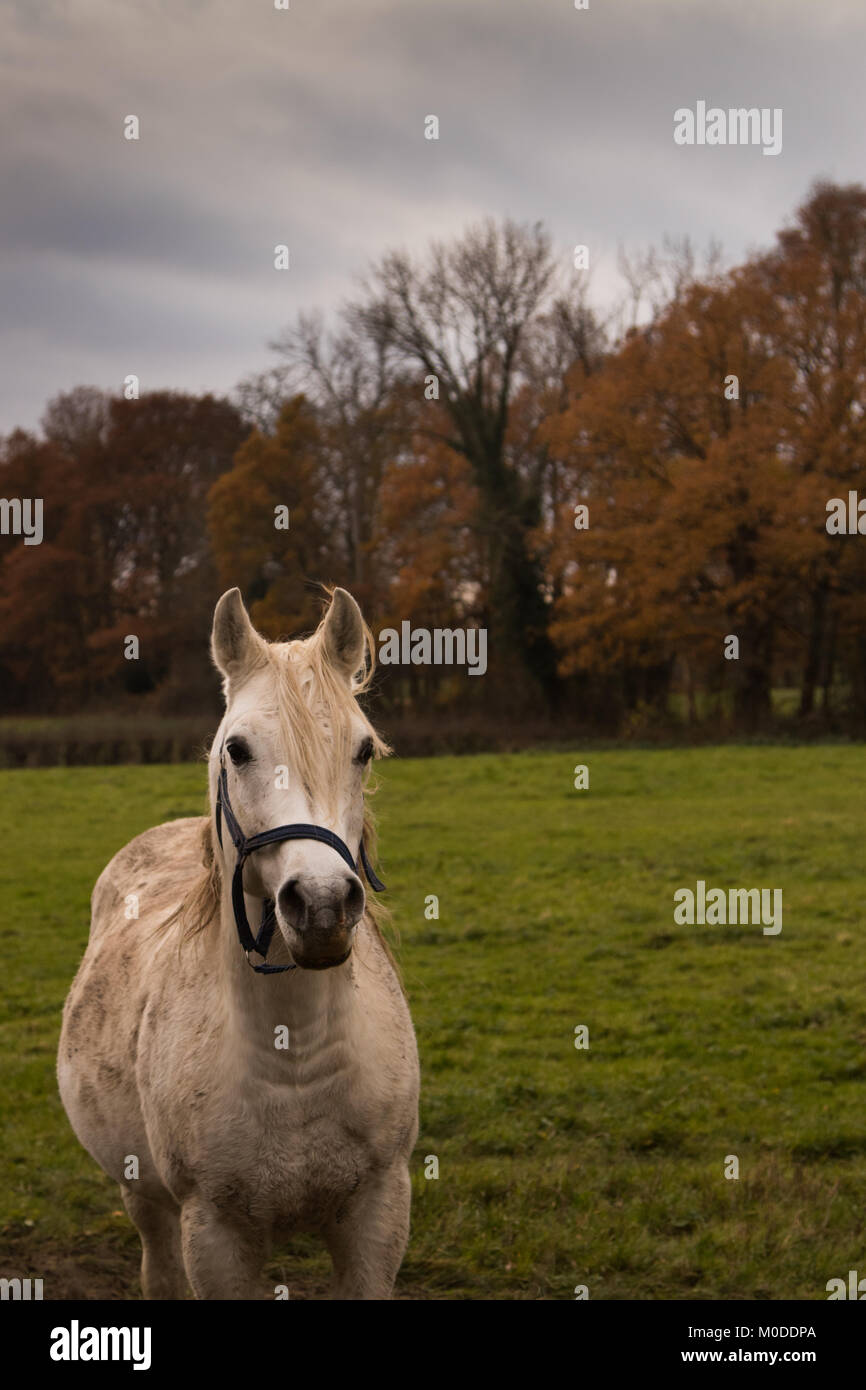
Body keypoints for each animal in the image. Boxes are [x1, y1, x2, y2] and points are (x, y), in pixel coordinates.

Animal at [58, 587, 420, 1300]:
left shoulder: (377, 1217)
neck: (295, 1059)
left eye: (364, 750)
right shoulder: (216, 1235)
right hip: (143, 1196)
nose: (323, 905)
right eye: (238, 749)